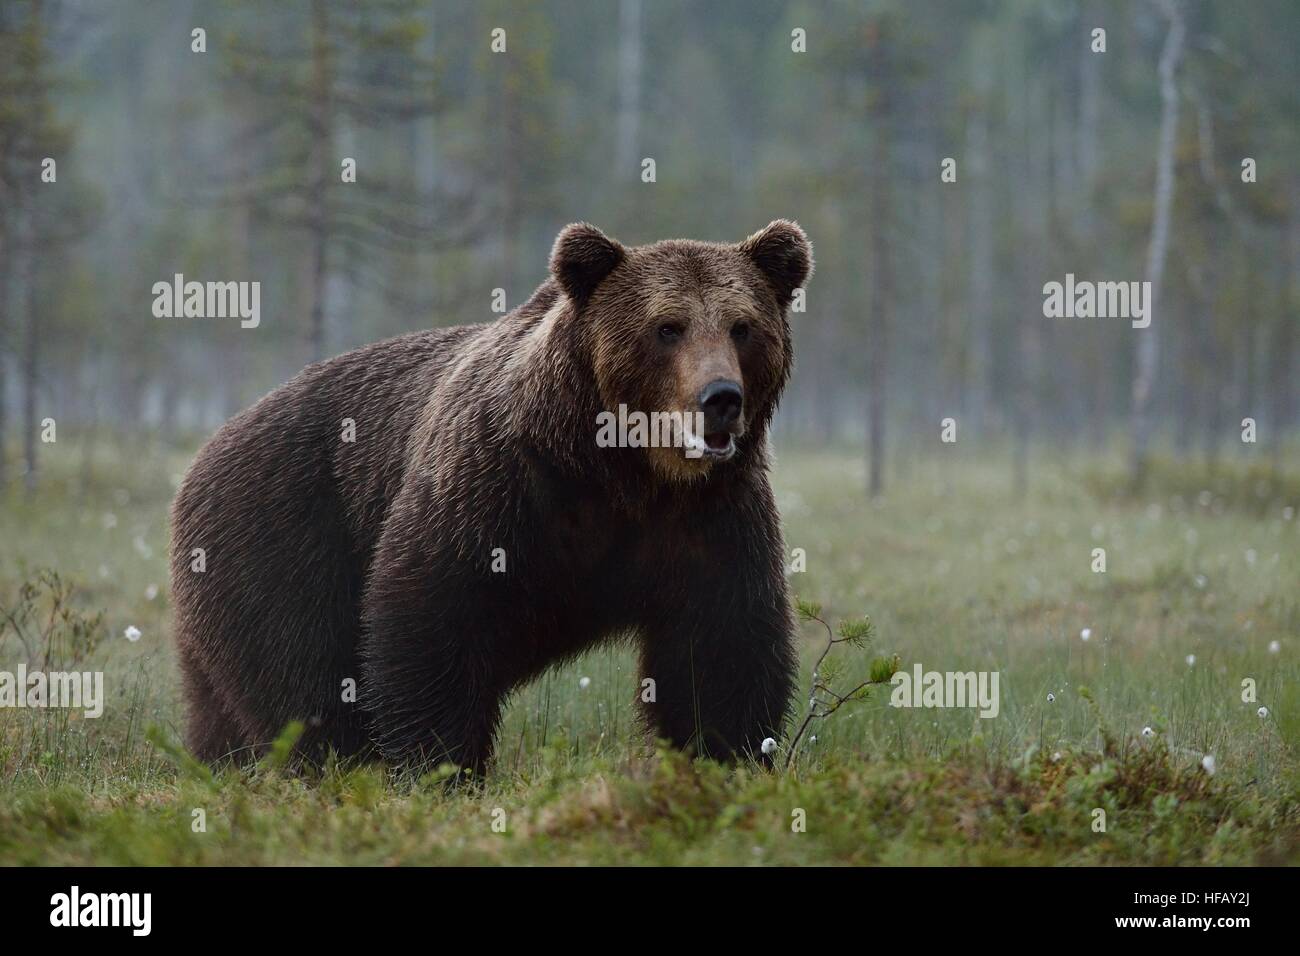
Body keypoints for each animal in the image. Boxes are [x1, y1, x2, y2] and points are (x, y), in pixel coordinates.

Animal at [169, 219, 813, 775]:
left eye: (742, 326)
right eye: (667, 327)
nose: (720, 398)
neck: (622, 473)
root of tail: (206, 449)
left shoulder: (709, 519)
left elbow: (720, 651)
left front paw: (727, 756)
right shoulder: (499, 489)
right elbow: (432, 621)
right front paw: (440, 766)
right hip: (280, 528)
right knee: (301, 672)